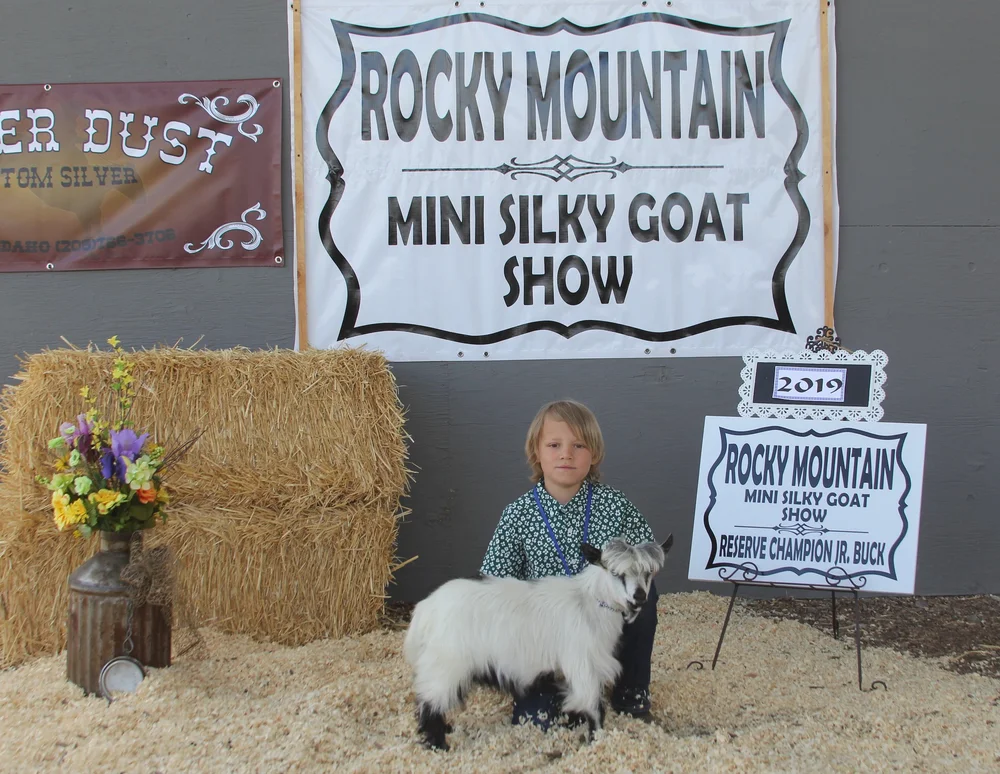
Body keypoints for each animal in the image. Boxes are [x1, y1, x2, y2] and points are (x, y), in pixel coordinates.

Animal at [403, 535, 673, 750]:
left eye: (649, 573)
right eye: (616, 573)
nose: (639, 597)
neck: (589, 603)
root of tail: (425, 610)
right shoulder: (582, 664)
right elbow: (592, 704)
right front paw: (596, 739)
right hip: (445, 663)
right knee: (429, 703)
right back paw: (438, 744)